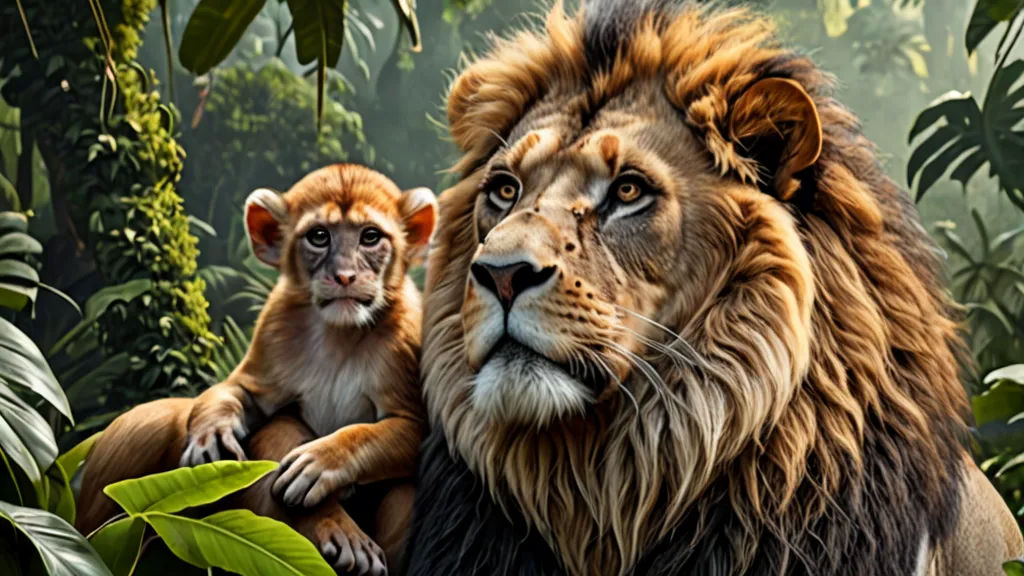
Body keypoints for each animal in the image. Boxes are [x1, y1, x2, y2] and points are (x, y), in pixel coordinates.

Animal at [75, 164, 436, 576]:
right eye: (319, 236)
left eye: (370, 236)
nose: (344, 276)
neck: (339, 334)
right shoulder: (268, 345)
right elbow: (232, 394)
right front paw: (211, 436)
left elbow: (376, 433)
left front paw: (319, 462)